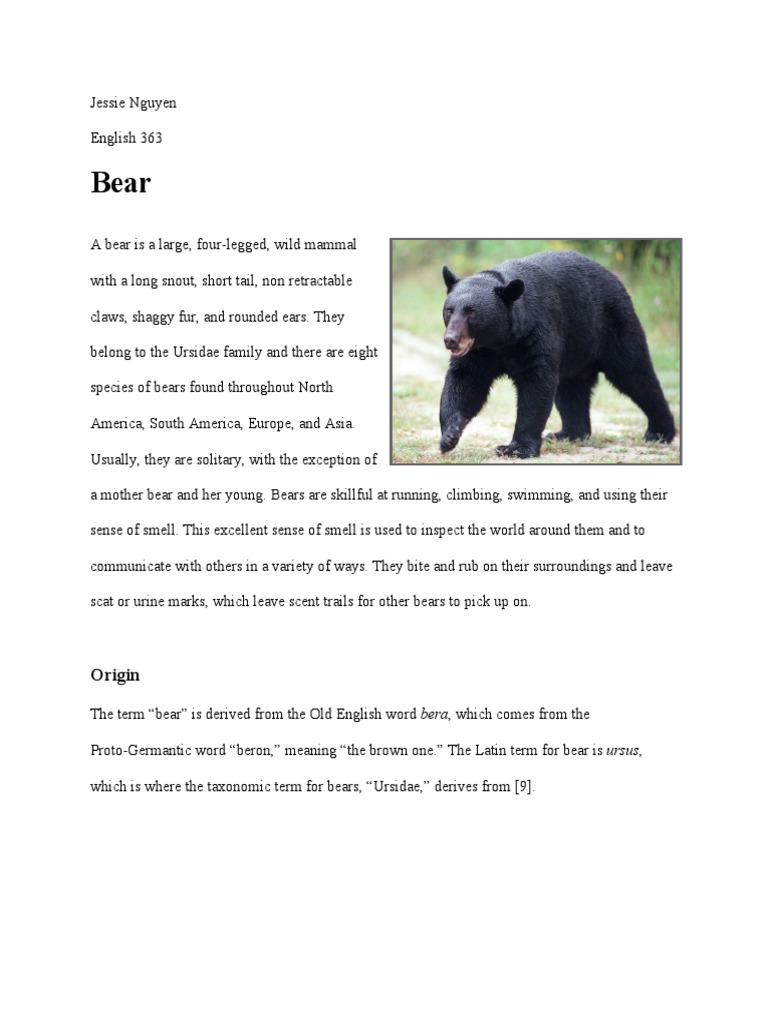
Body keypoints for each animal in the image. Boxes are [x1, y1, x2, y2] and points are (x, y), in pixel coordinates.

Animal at [438, 251, 676, 458]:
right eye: (449, 309)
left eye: (472, 312)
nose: (451, 339)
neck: (500, 341)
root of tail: (614, 277)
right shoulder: (478, 353)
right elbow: (465, 383)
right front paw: (450, 434)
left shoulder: (536, 333)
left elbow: (536, 384)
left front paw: (517, 448)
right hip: (576, 350)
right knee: (571, 389)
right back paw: (569, 434)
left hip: (613, 326)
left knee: (634, 374)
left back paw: (660, 431)